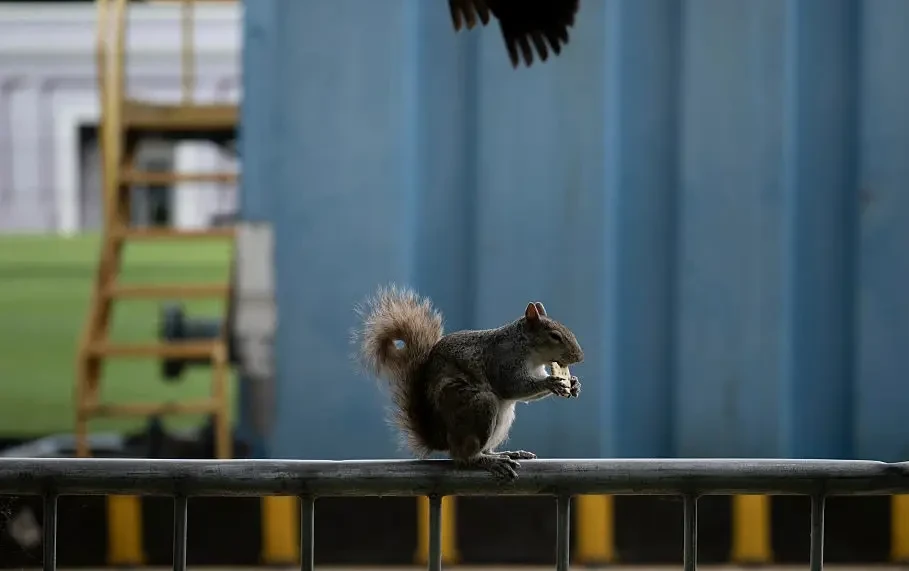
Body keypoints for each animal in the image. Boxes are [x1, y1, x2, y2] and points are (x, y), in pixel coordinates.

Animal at [354, 284, 584, 480]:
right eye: (555, 336)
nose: (580, 357)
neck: (528, 349)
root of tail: (442, 438)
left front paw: (573, 383)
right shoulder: (502, 362)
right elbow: (513, 386)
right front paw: (551, 383)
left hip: (502, 419)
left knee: (485, 447)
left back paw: (508, 453)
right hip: (478, 405)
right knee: (464, 456)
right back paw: (487, 461)